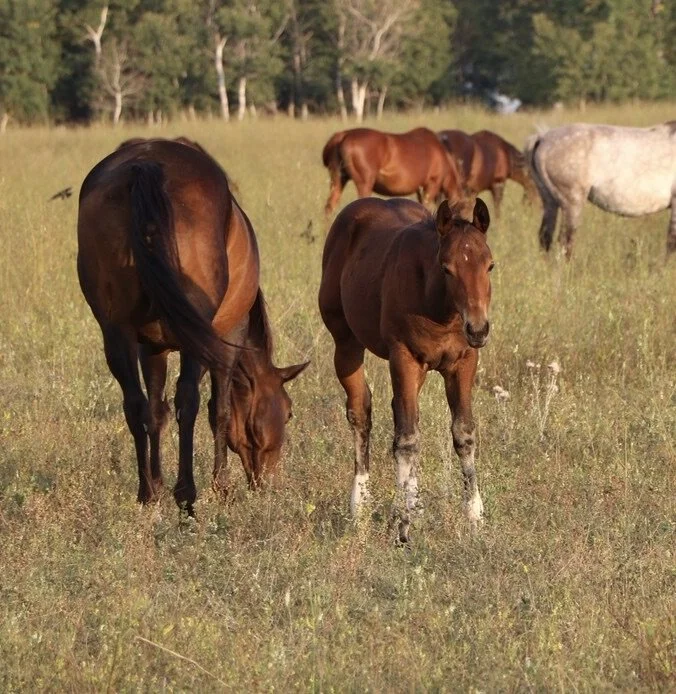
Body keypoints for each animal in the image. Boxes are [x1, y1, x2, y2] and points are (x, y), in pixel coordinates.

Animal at [77, 139, 308, 514]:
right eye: (288, 413)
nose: (267, 484)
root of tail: (145, 165)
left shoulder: (151, 347)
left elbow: (156, 410)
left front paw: (157, 483)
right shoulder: (225, 341)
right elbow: (219, 410)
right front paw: (221, 486)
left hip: (116, 331)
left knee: (136, 404)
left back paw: (148, 493)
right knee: (189, 401)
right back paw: (187, 494)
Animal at [319, 196, 494, 542]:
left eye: (490, 265)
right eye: (447, 267)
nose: (478, 328)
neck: (441, 308)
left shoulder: (464, 362)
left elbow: (463, 433)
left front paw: (475, 516)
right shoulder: (404, 357)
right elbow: (407, 439)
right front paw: (402, 525)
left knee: (402, 414)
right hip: (346, 344)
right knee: (361, 413)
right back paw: (360, 505)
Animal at [524, 121, 676, 258]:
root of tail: (543, 138)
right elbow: (671, 243)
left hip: (550, 201)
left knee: (545, 237)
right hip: (572, 204)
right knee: (565, 242)